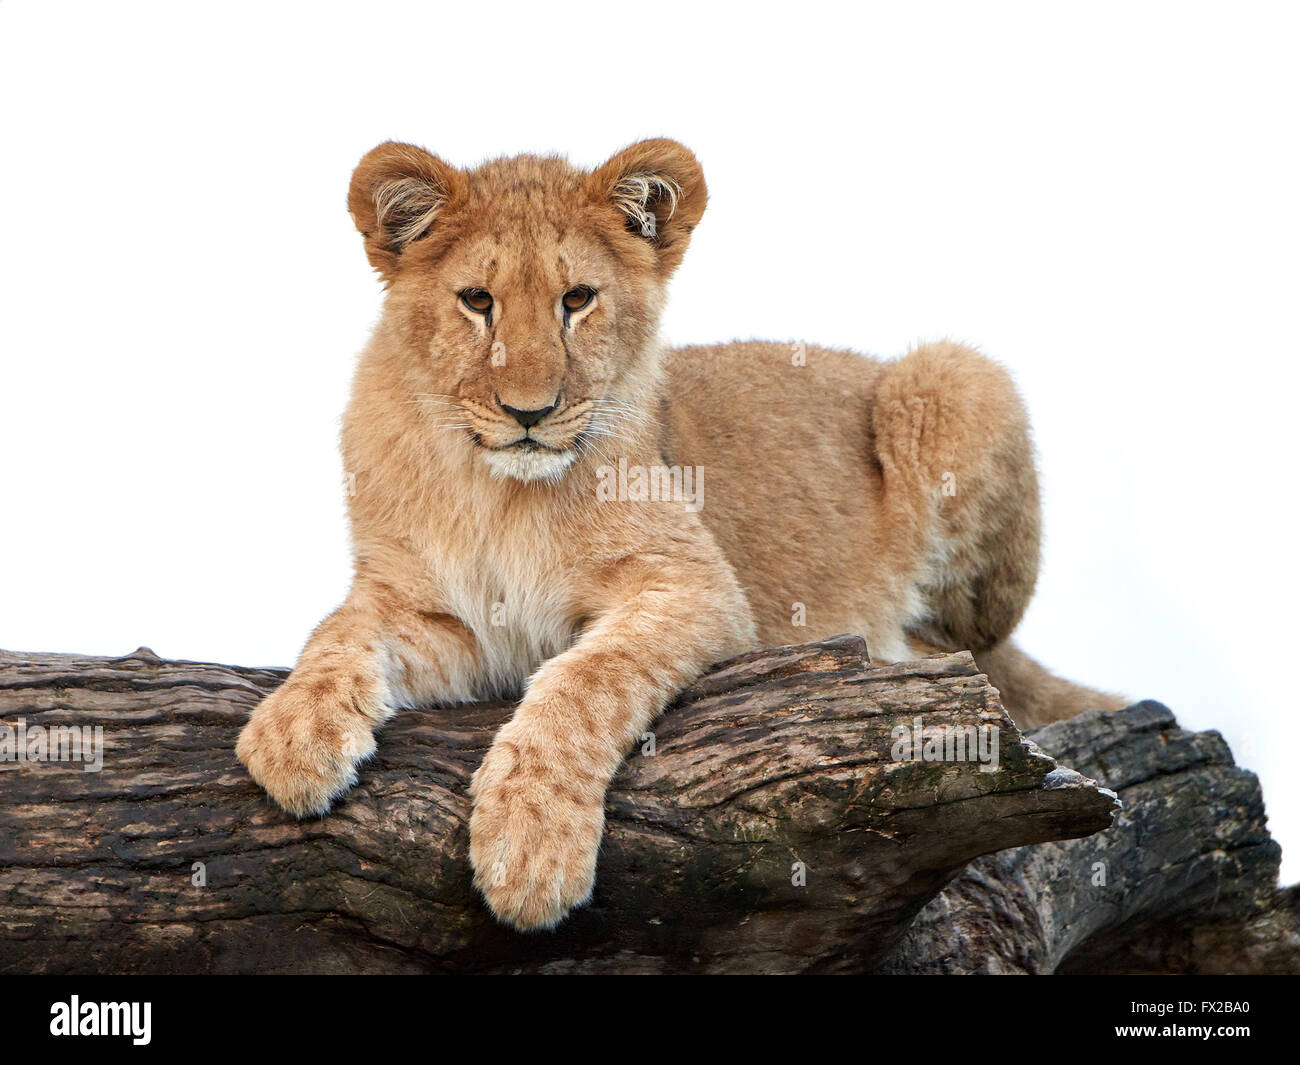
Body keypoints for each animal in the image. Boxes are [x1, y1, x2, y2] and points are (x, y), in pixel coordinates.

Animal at [236, 138, 1126, 931]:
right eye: (477, 301)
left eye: (577, 299)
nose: (530, 412)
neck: (501, 493)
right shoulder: (444, 616)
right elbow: (339, 629)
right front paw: (292, 731)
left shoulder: (695, 584)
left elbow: (584, 682)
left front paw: (532, 844)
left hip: (950, 378)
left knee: (966, 639)